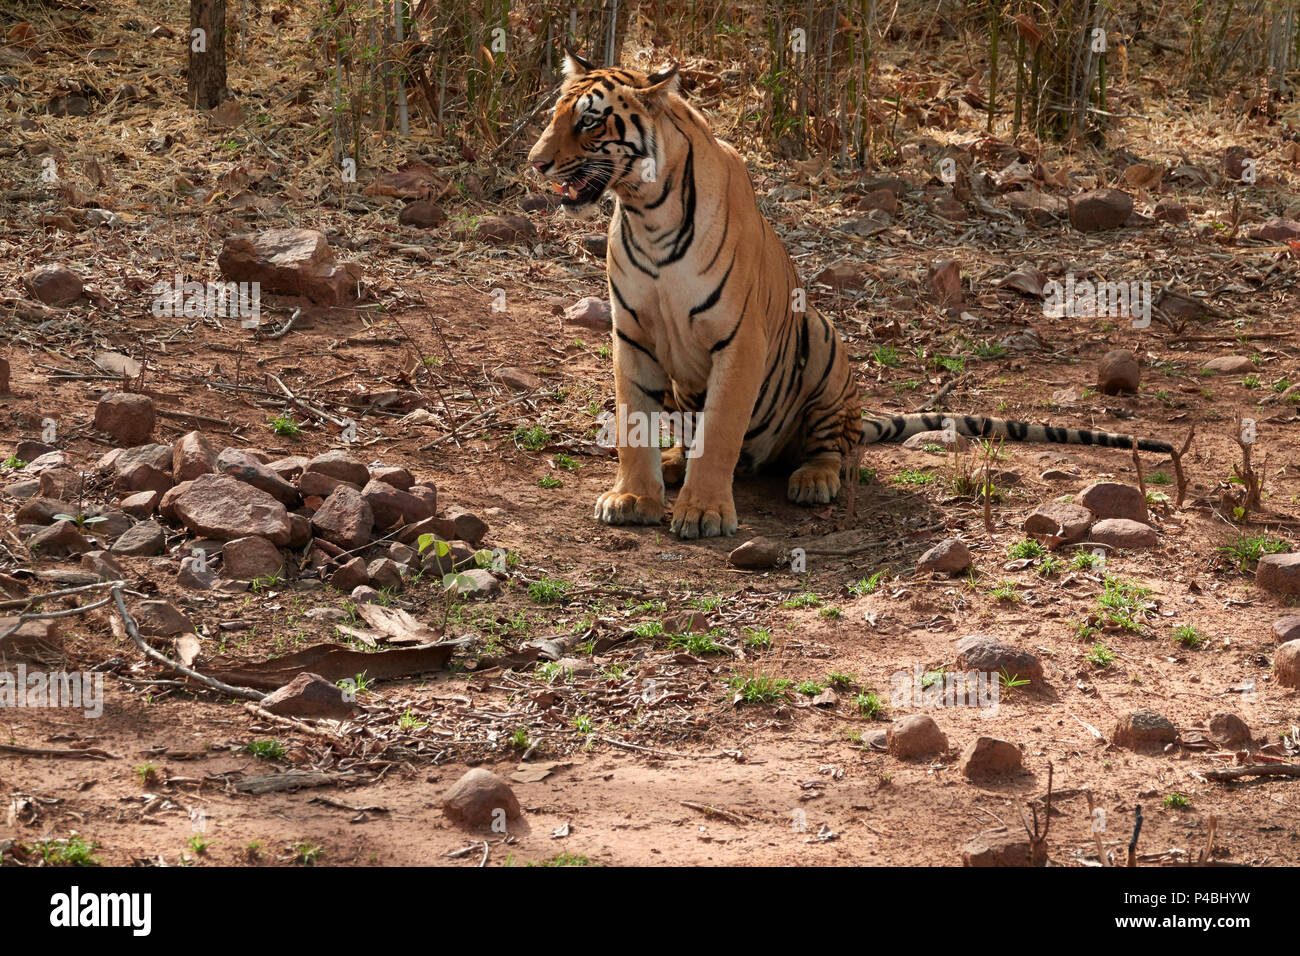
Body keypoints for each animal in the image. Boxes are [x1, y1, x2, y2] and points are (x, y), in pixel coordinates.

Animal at [526, 51, 1172, 539]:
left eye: (589, 123)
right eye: (555, 114)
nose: (535, 163)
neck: (647, 209)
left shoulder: (739, 339)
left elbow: (722, 431)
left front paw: (704, 511)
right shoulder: (633, 333)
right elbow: (633, 424)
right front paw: (634, 498)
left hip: (821, 341)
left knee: (830, 448)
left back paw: (812, 480)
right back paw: (673, 461)